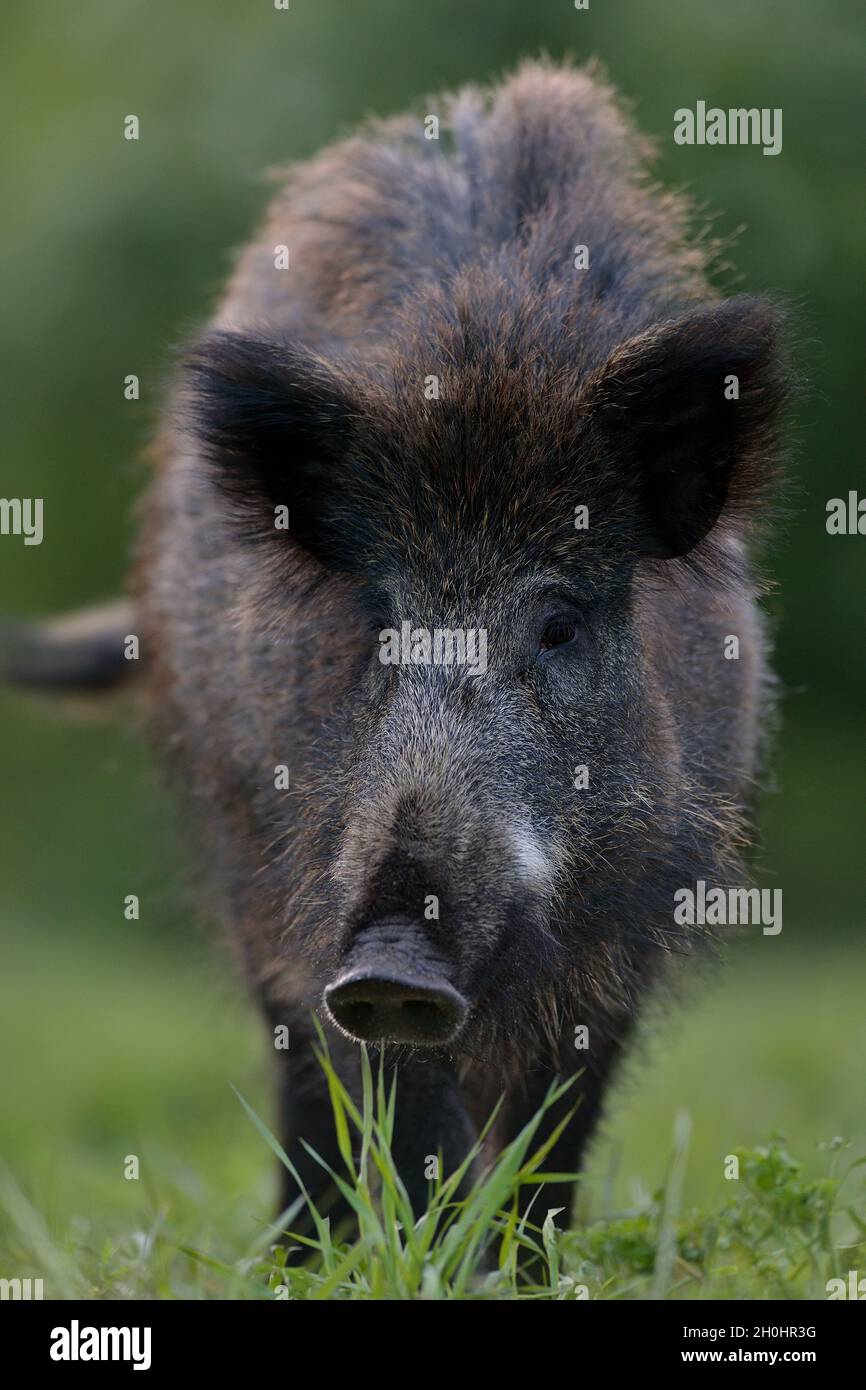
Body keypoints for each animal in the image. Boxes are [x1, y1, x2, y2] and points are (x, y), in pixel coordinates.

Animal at [3, 61, 790, 1237]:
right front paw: (424, 1252)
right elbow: (406, 1116)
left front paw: (527, 1262)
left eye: (558, 623)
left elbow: (553, 1137)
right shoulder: (319, 908)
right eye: (380, 618)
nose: (394, 953)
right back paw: (296, 1251)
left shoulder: (630, 930)